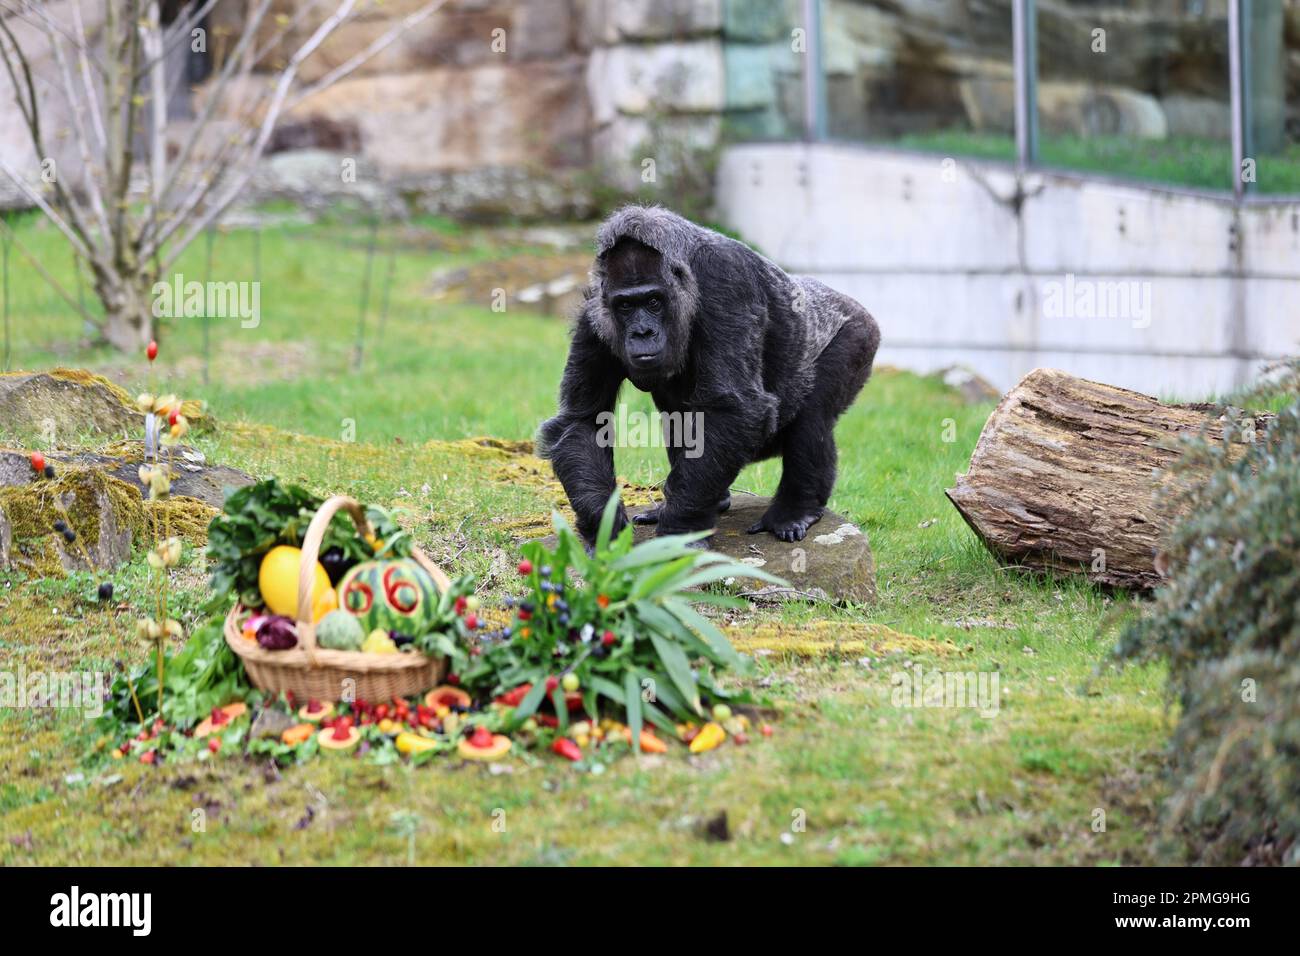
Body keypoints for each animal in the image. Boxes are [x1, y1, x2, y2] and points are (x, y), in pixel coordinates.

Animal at [537, 206, 880, 545]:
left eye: (653, 301)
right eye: (624, 306)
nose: (642, 332)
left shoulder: (725, 280)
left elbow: (736, 409)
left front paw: (678, 532)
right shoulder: (592, 315)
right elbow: (583, 420)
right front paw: (602, 523)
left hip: (860, 332)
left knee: (813, 417)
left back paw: (796, 509)